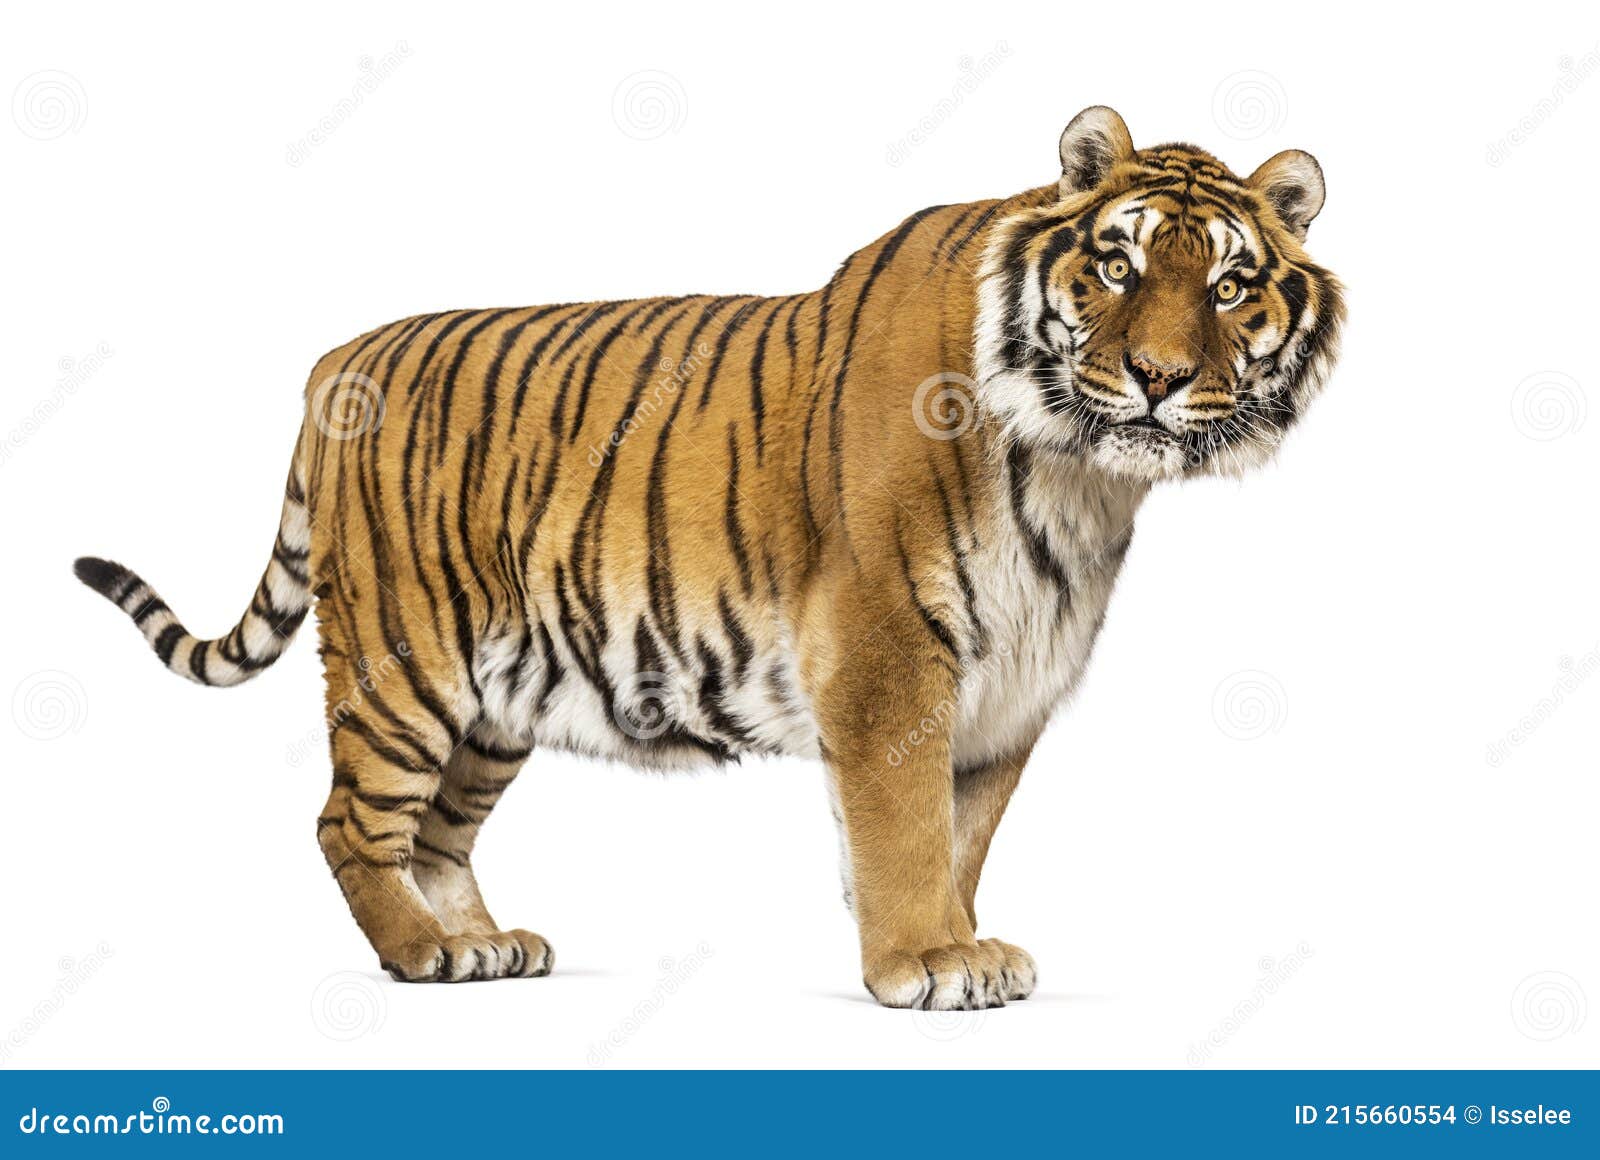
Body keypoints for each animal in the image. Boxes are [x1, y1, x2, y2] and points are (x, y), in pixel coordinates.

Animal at [75, 106, 1344, 1010]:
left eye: (1230, 284)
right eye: (1119, 268)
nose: (1159, 378)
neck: (1081, 473)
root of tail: (338, 356)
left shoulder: (1009, 683)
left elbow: (960, 832)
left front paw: (961, 939)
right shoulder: (887, 655)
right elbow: (903, 824)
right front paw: (925, 961)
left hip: (496, 698)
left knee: (434, 830)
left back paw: (477, 941)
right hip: (406, 661)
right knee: (348, 821)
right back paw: (419, 953)